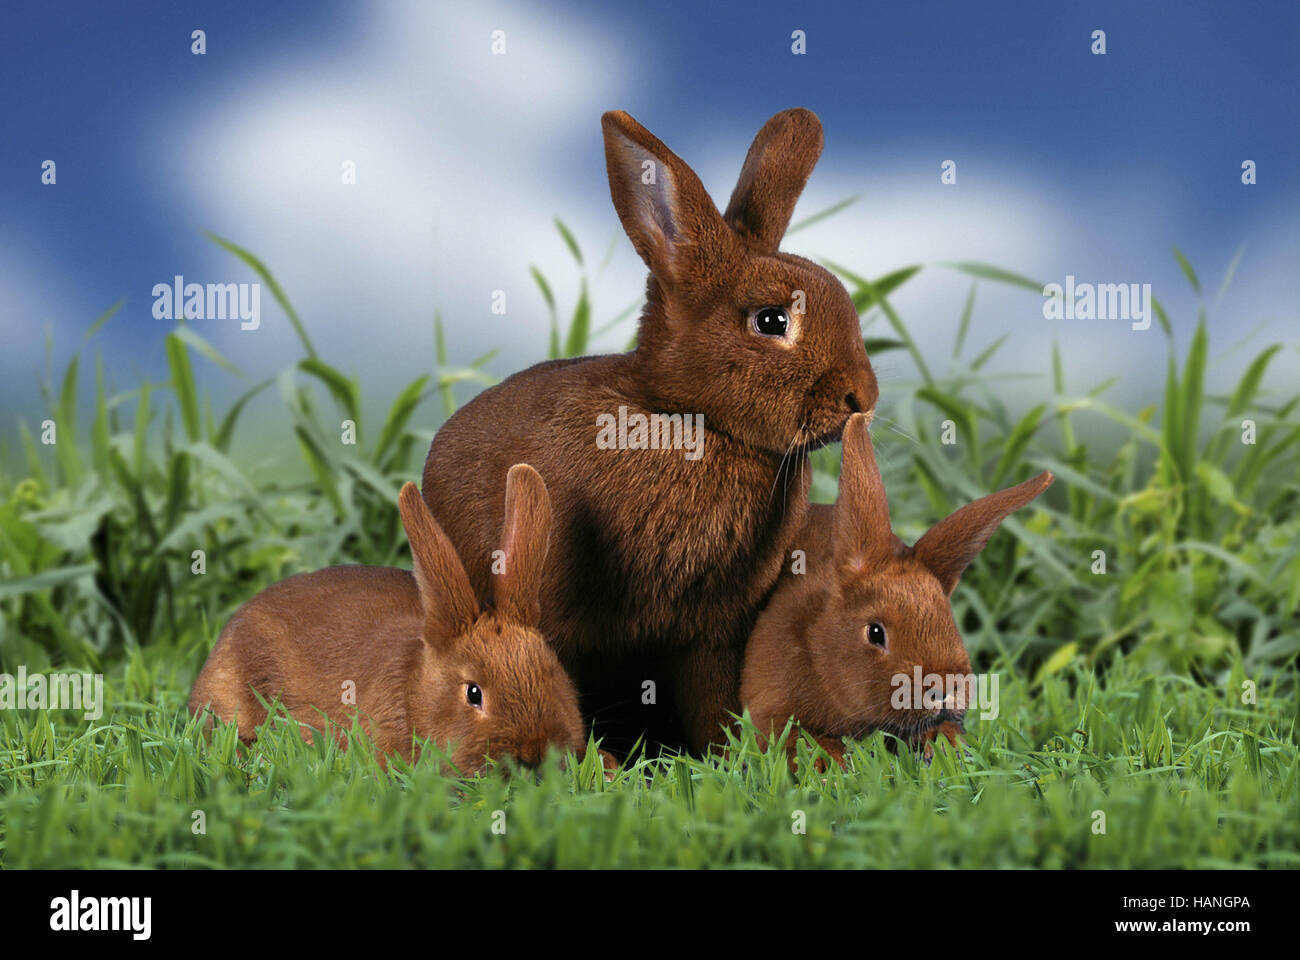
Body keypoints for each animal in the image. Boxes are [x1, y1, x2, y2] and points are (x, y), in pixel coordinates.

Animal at [422, 108, 878, 755]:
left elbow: (712, 699)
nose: (862, 397)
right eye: (771, 321)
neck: (691, 419)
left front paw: (725, 757)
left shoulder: (713, 631)